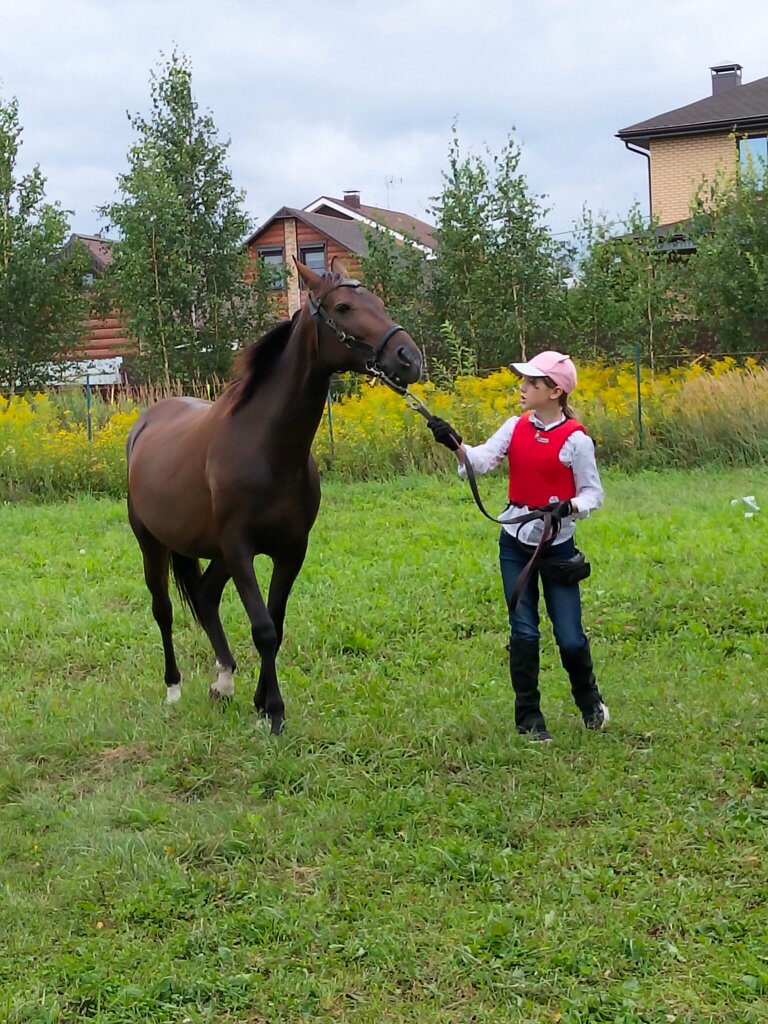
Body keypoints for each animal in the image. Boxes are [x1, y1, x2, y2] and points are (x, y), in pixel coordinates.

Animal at [126, 258, 423, 735]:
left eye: (378, 301)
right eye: (343, 307)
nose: (409, 359)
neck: (266, 447)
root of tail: (146, 422)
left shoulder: (290, 550)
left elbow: (276, 626)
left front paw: (262, 703)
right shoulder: (241, 549)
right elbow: (263, 627)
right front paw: (276, 713)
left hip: (215, 553)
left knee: (205, 597)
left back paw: (224, 681)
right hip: (152, 543)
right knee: (164, 609)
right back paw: (173, 688)